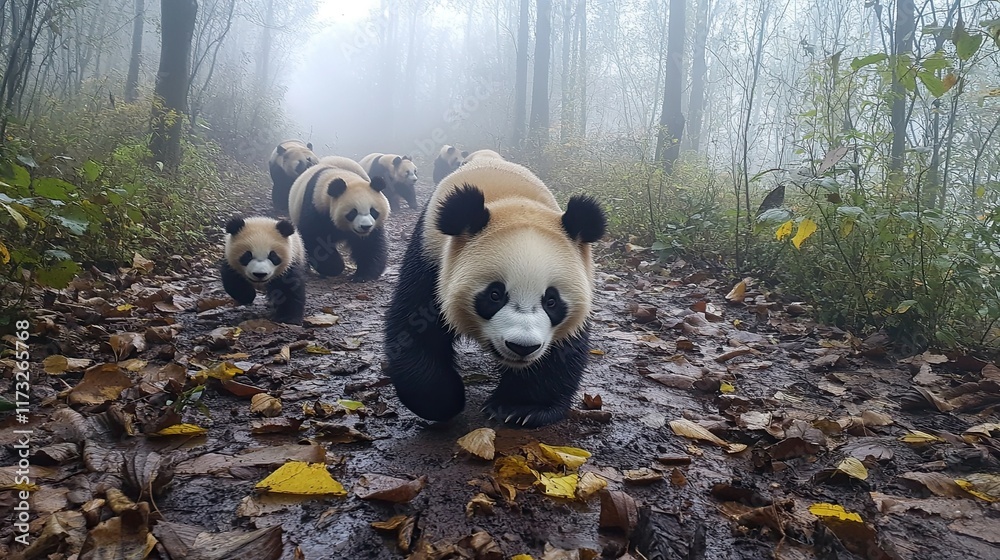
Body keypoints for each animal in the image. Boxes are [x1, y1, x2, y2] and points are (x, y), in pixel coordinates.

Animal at [384, 158, 606, 428]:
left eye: (552, 301)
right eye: (494, 295)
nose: (522, 347)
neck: (510, 198)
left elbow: (564, 348)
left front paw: (520, 407)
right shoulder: (430, 256)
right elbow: (414, 327)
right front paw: (442, 401)